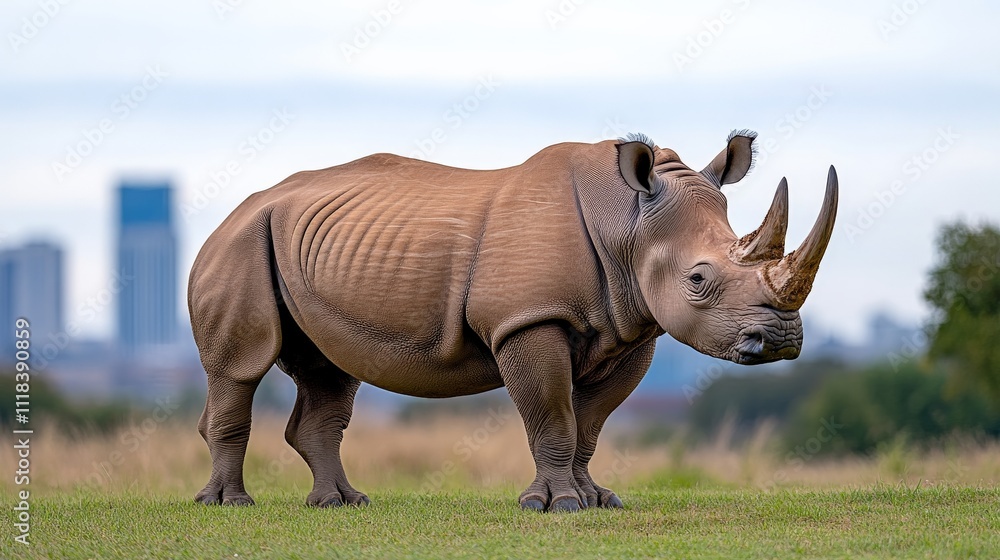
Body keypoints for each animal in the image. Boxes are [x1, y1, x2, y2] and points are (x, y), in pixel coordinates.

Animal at [188, 130, 838, 512]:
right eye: (698, 280)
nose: (781, 340)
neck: (627, 222)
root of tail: (233, 211)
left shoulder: (631, 329)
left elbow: (589, 422)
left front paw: (596, 499)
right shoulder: (527, 321)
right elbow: (551, 413)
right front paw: (556, 506)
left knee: (329, 371)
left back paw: (342, 504)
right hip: (239, 243)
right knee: (240, 367)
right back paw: (228, 504)